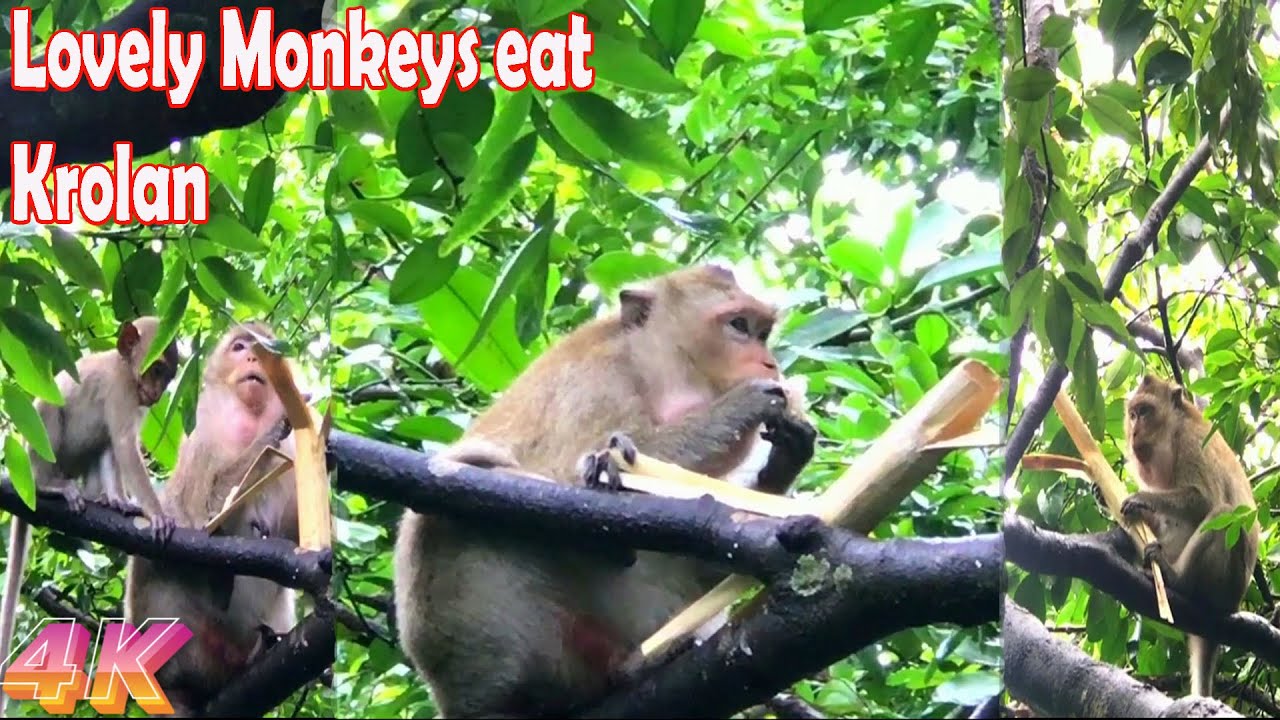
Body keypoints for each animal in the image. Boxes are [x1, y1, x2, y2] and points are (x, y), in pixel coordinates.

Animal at [0, 316, 180, 717]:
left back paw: (108, 499)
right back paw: (50, 486)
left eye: (168, 376)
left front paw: (127, 502)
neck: (125, 369)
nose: (155, 394)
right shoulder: (121, 389)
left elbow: (117, 446)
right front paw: (158, 514)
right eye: (156, 369)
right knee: (48, 410)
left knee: (102, 444)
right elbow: (125, 444)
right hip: (39, 454)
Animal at [124, 322, 301, 716]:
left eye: (265, 348)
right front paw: (270, 434)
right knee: (154, 562)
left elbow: (296, 539)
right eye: (240, 347)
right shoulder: (203, 439)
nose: (254, 357)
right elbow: (202, 516)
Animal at [393, 264, 818, 718]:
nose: (769, 364)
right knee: (454, 493)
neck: (649, 373)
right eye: (739, 326)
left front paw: (787, 455)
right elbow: (567, 477)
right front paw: (744, 405)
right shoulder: (594, 384)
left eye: (763, 332)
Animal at [1119, 373, 1259, 699]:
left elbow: (1204, 500)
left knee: (1223, 513)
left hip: (1226, 584)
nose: (1134, 431)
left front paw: (1141, 498)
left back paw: (1175, 578)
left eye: (1145, 412)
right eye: (1132, 414)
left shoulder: (1191, 443)